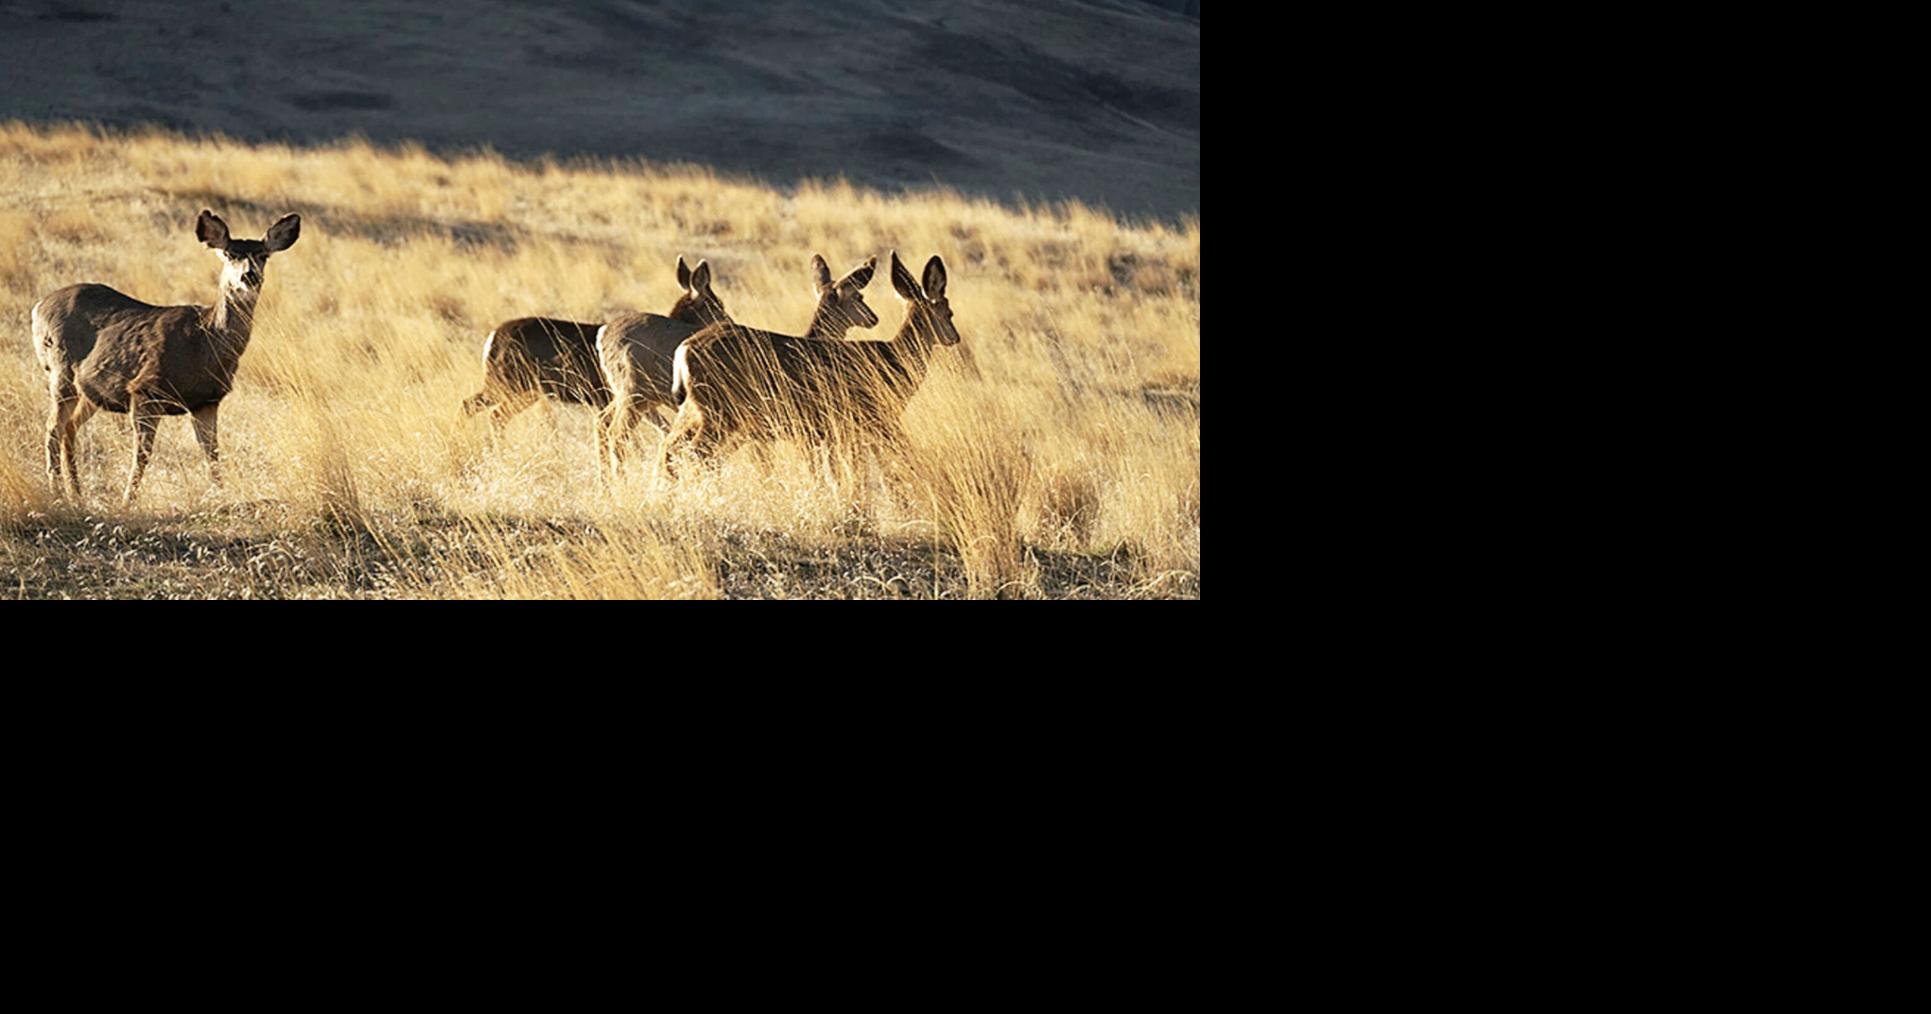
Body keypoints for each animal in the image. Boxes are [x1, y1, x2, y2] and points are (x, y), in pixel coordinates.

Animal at [31, 209, 301, 505]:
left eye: (263, 255)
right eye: (230, 254)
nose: (249, 276)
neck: (204, 343)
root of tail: (38, 306)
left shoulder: (207, 401)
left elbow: (212, 454)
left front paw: (221, 496)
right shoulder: (145, 390)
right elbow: (143, 455)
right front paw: (128, 501)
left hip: (91, 390)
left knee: (69, 427)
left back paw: (77, 493)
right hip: (60, 371)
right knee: (52, 427)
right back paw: (58, 493)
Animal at [462, 255, 729, 431]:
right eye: (718, 306)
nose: (729, 321)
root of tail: (492, 338)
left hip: (522, 389)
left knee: (484, 410)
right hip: (509, 383)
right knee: (480, 409)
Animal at [597, 253, 880, 479]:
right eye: (859, 296)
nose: (874, 318)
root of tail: (602, 336)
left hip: (641, 398)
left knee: (610, 427)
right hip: (643, 395)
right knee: (621, 437)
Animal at [657, 251, 958, 479]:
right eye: (949, 312)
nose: (955, 337)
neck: (894, 359)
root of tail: (684, 350)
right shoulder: (876, 417)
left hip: (695, 410)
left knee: (669, 451)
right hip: (722, 411)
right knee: (696, 453)